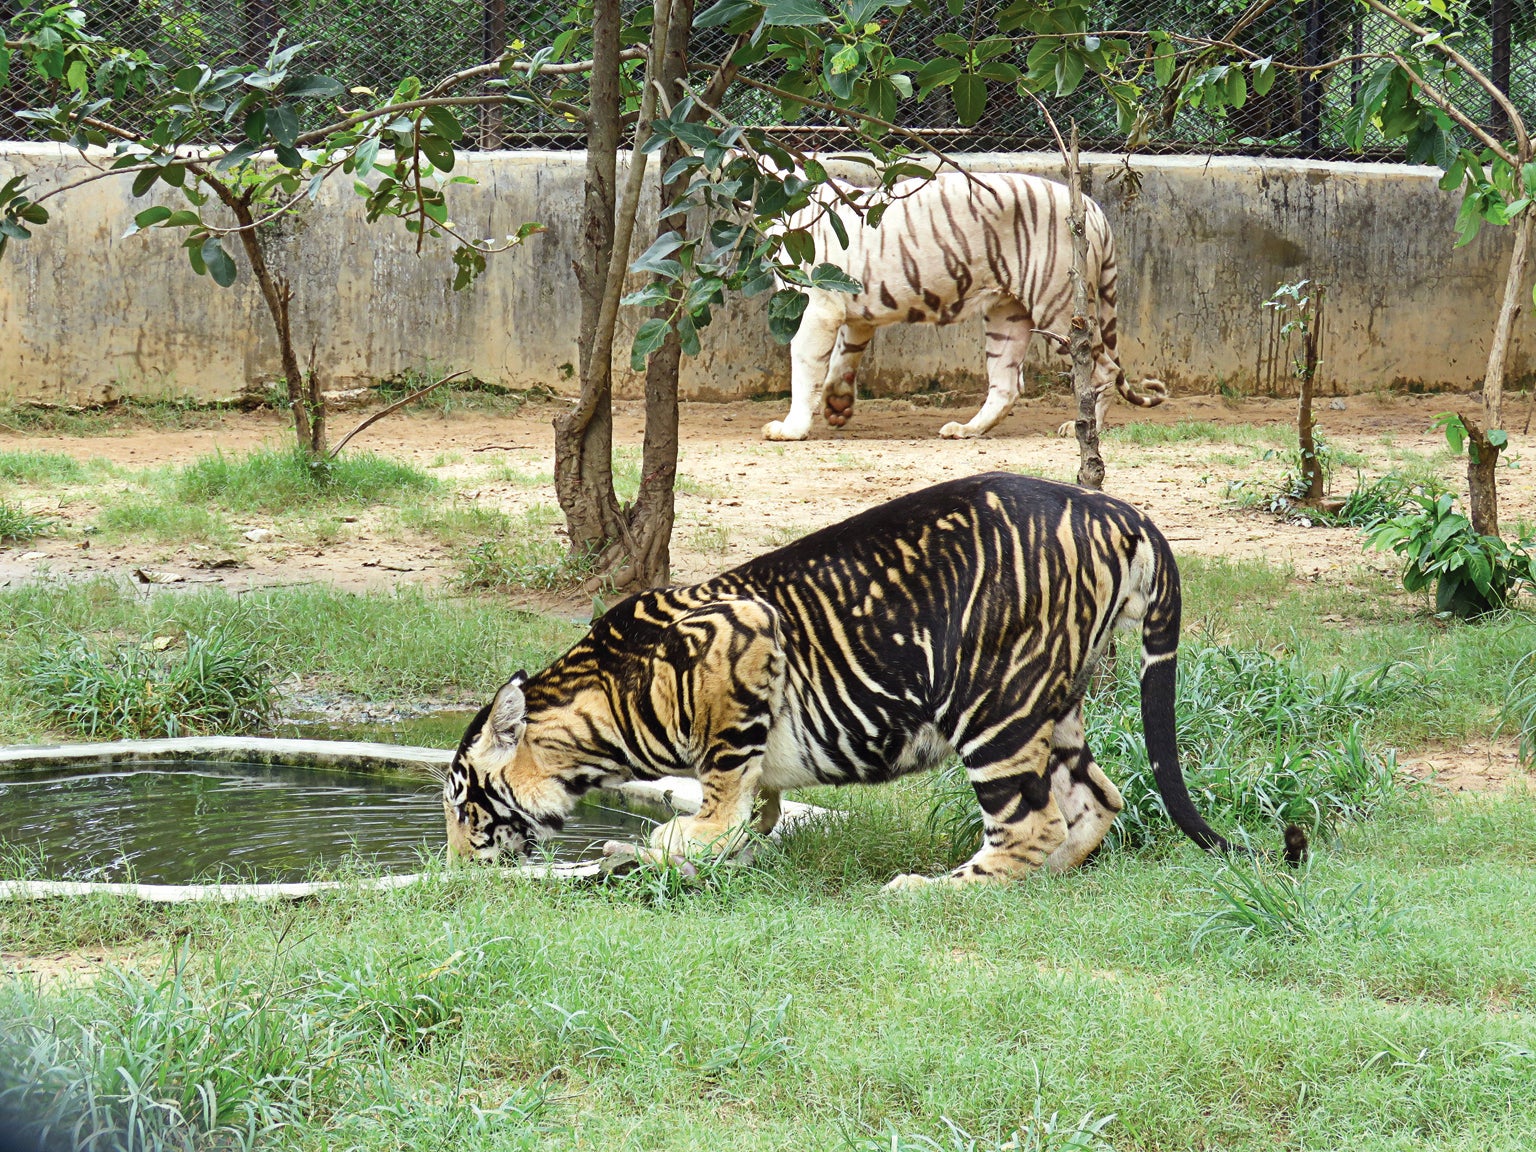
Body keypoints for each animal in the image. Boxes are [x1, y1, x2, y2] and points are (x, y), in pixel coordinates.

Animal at [444, 472, 1303, 888]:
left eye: (461, 803)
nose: (451, 865)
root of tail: (1118, 509)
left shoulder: (742, 638)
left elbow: (719, 790)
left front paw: (674, 843)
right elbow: (754, 802)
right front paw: (721, 845)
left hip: (993, 701)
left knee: (1029, 825)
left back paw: (935, 887)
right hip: (1053, 704)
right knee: (1095, 802)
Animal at [760, 170, 1167, 442]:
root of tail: (1094, 209)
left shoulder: (818, 306)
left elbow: (805, 365)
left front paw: (791, 428)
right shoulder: (853, 314)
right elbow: (844, 357)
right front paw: (838, 405)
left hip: (1059, 307)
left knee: (1102, 369)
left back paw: (1083, 426)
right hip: (1007, 314)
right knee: (1007, 384)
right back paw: (967, 429)